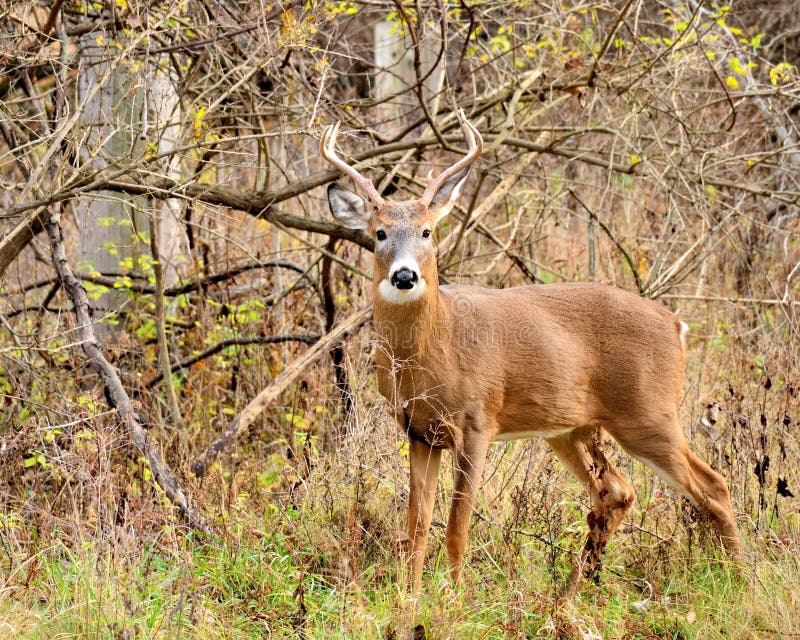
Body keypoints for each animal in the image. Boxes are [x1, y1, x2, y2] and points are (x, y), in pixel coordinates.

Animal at [320, 112, 742, 595]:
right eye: (379, 233)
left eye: (428, 231)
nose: (405, 276)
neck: (434, 350)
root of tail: (676, 325)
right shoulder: (418, 431)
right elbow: (417, 526)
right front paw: (410, 596)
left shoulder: (477, 421)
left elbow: (456, 527)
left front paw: (452, 597)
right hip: (573, 427)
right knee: (617, 492)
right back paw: (568, 594)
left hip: (648, 411)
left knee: (714, 486)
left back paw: (743, 578)